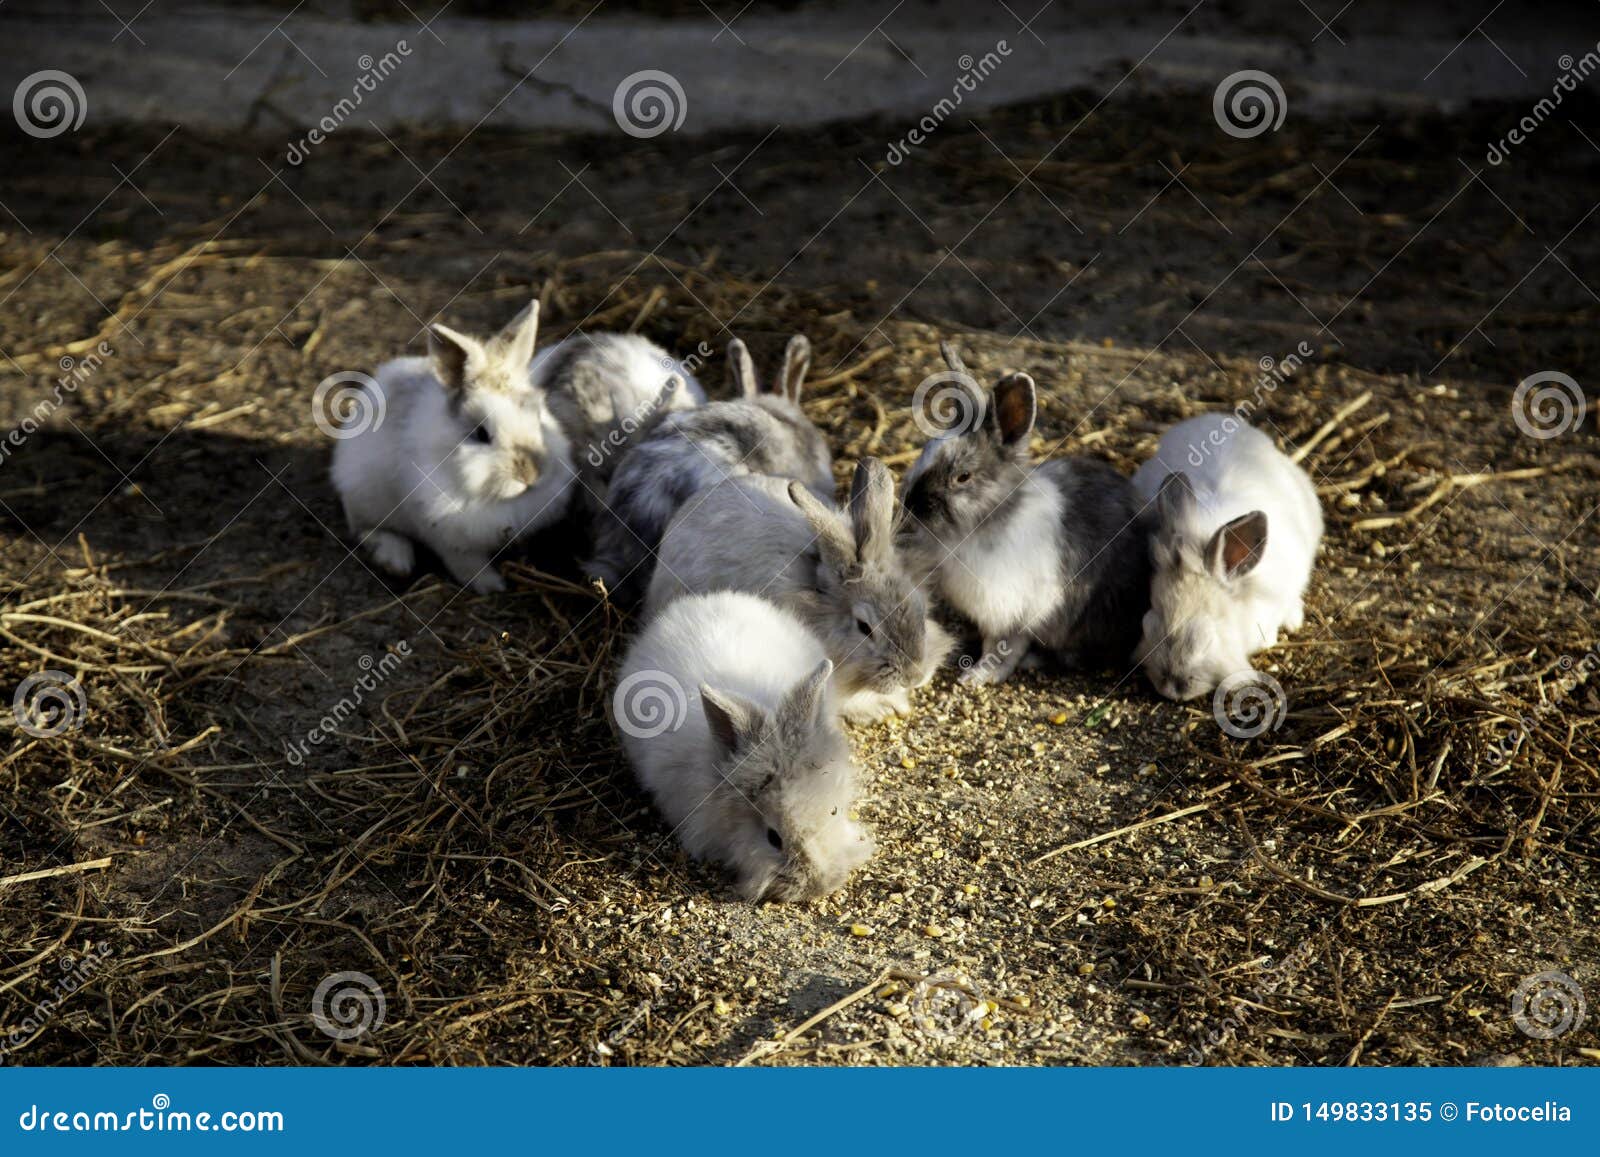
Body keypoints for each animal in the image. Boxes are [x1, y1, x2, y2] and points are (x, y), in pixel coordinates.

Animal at [330, 299, 575, 594]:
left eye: (538, 416)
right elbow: (469, 567)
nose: (530, 475)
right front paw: (494, 586)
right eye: (481, 434)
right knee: (365, 529)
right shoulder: (451, 541)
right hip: (364, 497)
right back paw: (396, 560)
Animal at [899, 343, 1151, 685]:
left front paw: (977, 676)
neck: (987, 521)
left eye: (963, 477)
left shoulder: (1014, 612)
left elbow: (1003, 648)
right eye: (924, 453)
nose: (909, 503)